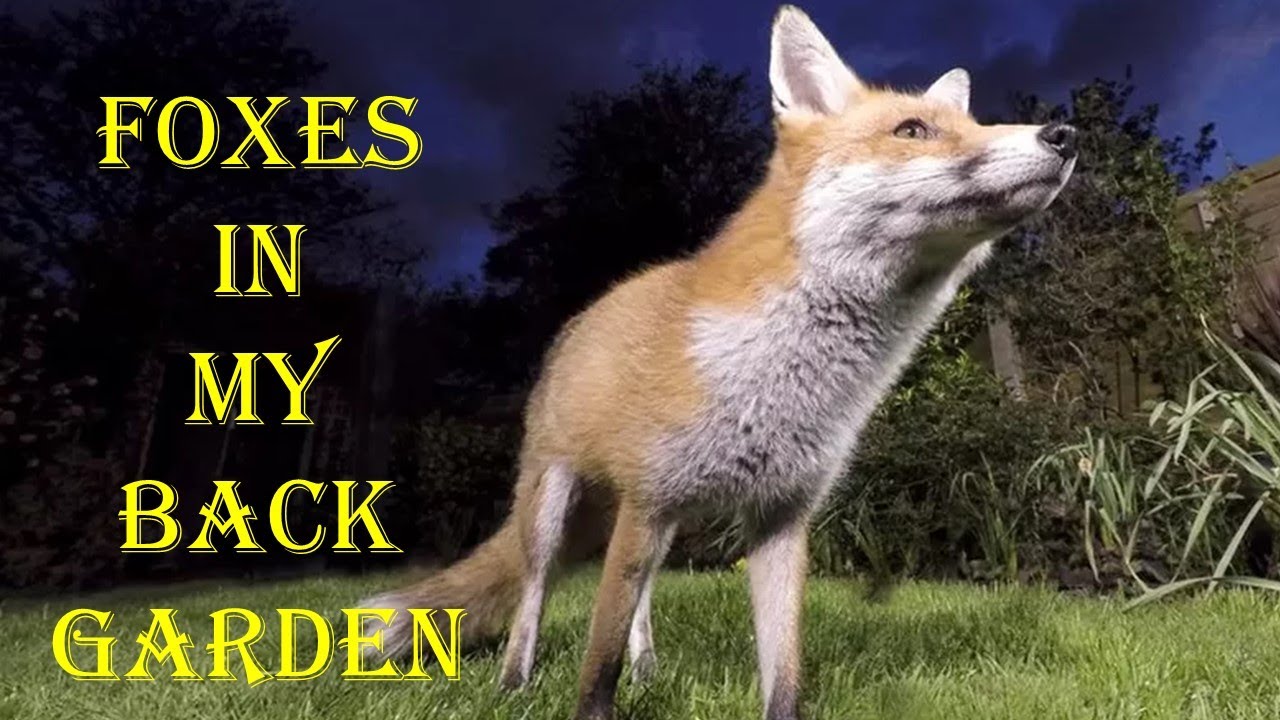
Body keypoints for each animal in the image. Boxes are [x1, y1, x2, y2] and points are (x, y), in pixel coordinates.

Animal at [362, 5, 1077, 719]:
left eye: (974, 126)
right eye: (912, 130)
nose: (1064, 134)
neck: (781, 383)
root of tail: (590, 311)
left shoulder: (781, 518)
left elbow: (783, 676)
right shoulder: (648, 501)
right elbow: (597, 664)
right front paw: (589, 697)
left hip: (662, 526)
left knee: (643, 600)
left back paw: (648, 671)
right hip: (555, 506)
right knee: (534, 596)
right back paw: (515, 681)